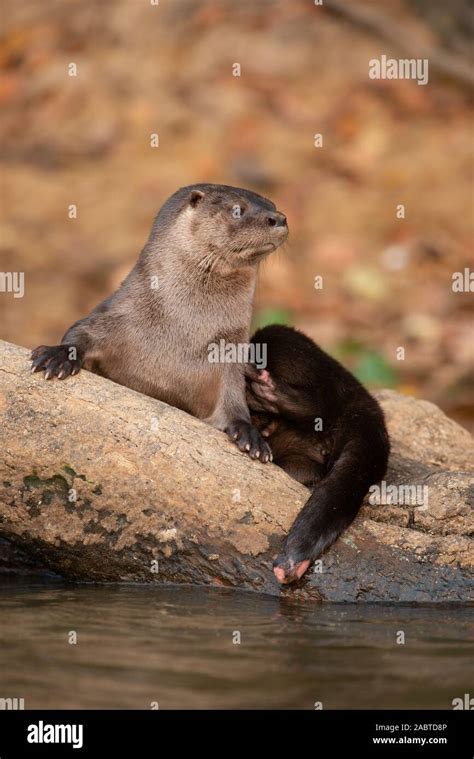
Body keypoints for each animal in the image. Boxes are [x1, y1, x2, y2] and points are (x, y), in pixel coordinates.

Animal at [31, 184, 288, 460]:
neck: (181, 333)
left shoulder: (230, 353)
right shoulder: (117, 314)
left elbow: (232, 397)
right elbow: (81, 331)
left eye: (273, 205)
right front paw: (57, 356)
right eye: (237, 209)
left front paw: (249, 432)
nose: (279, 218)